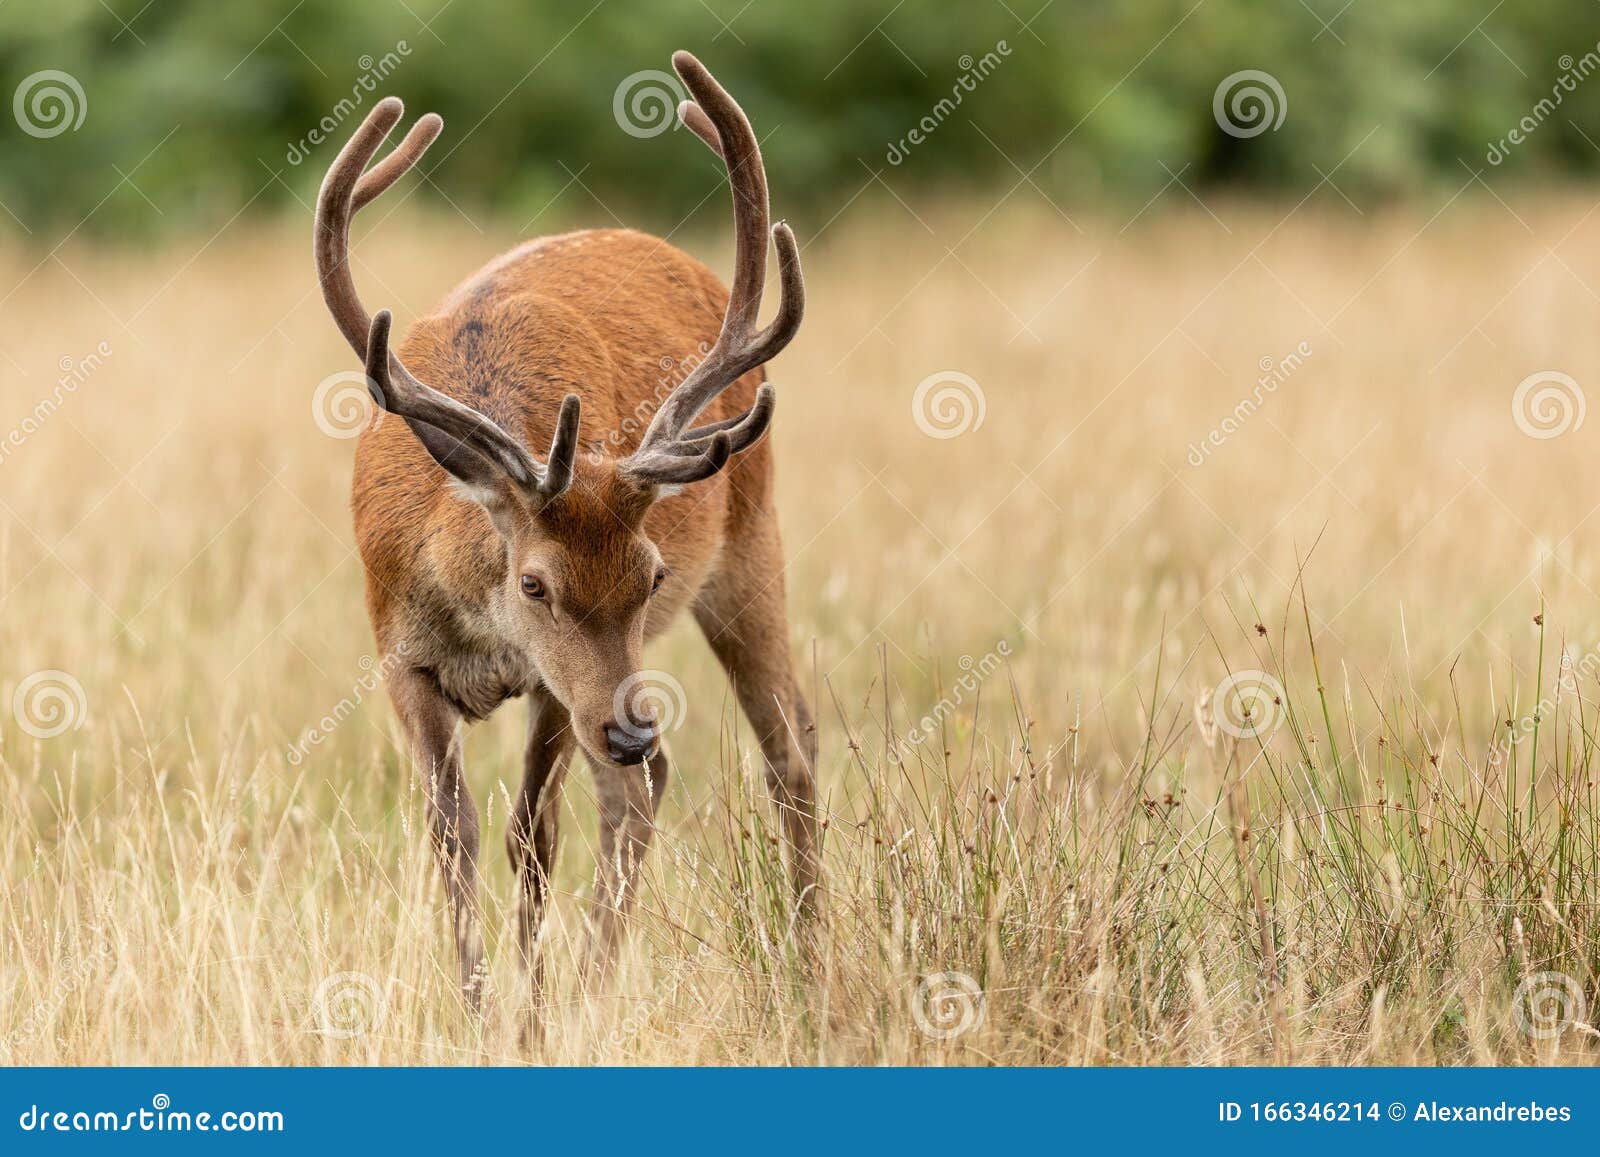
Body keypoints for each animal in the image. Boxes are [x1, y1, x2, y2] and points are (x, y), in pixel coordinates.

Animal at [312, 51, 819, 1013]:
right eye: (534, 582)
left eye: (651, 575)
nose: (628, 728)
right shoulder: (395, 650)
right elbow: (454, 832)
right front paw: (478, 1008)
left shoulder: (555, 683)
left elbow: (532, 838)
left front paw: (535, 1016)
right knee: (653, 782)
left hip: (754, 538)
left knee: (787, 750)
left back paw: (806, 958)